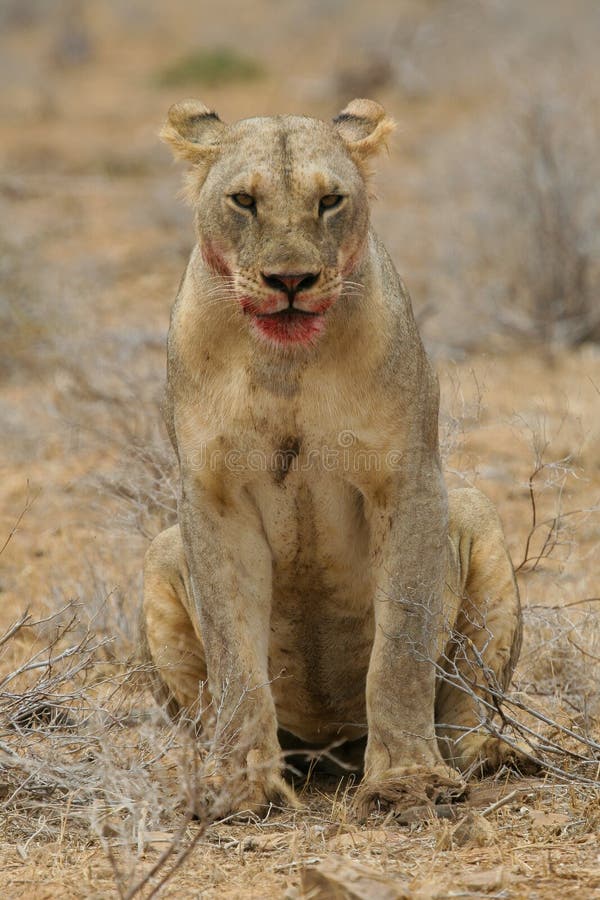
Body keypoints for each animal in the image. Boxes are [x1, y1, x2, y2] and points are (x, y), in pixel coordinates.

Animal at [141, 98, 526, 818]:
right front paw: (238, 784)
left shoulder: (407, 482)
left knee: (469, 707)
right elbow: (234, 656)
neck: (286, 365)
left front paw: (408, 779)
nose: (290, 280)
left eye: (329, 201)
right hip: (160, 551)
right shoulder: (213, 496)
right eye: (244, 201)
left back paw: (492, 754)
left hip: (477, 513)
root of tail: (328, 746)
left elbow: (400, 648)